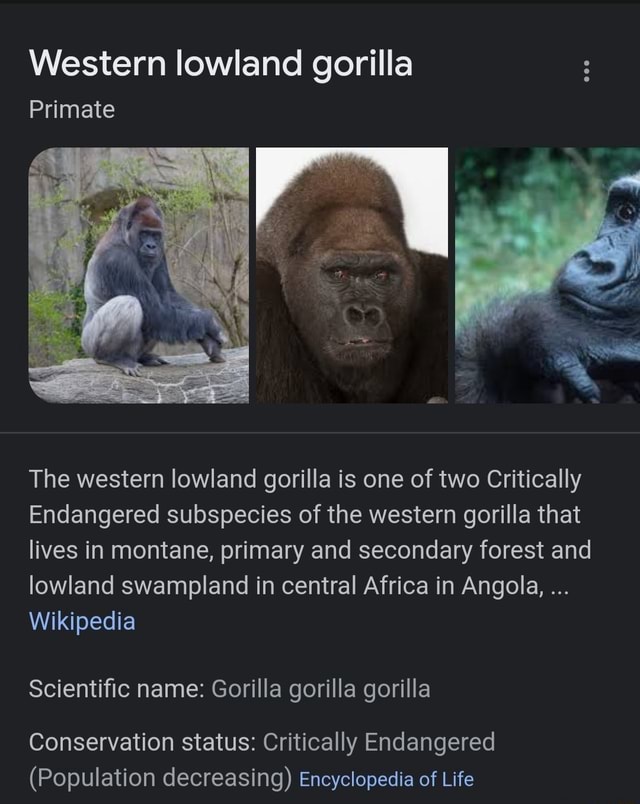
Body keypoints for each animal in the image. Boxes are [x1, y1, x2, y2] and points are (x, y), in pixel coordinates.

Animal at [81, 197, 225, 376]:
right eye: (144, 233)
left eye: (155, 235)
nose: (151, 246)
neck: (122, 234)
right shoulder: (118, 260)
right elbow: (156, 312)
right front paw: (210, 325)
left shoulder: (161, 252)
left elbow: (167, 297)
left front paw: (208, 339)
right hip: (88, 344)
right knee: (128, 303)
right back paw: (112, 358)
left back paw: (145, 357)